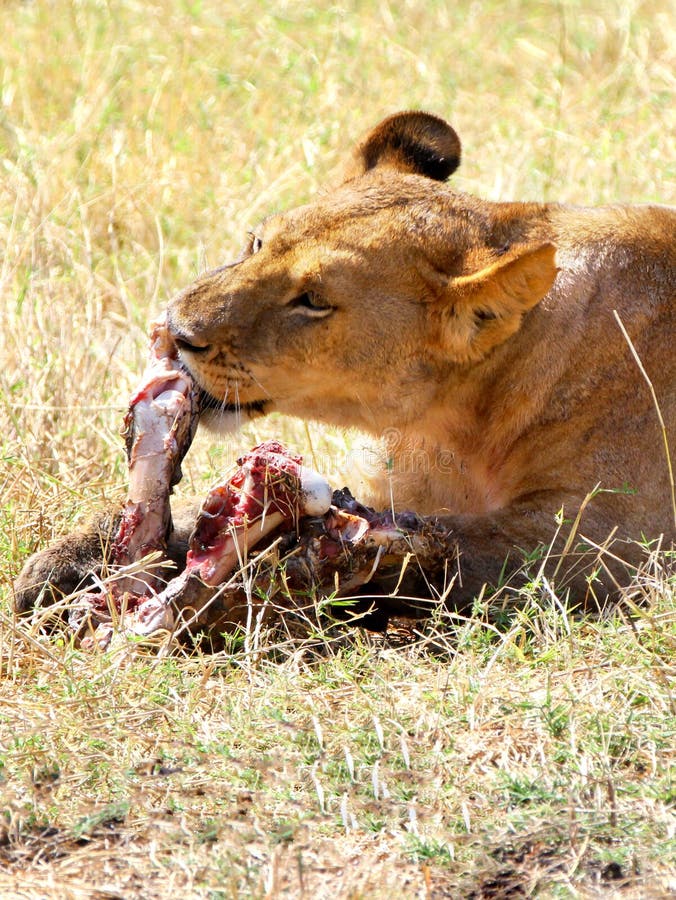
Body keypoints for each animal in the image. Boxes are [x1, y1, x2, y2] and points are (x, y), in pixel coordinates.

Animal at [15, 111, 675, 620]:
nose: (175, 332)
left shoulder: (608, 541)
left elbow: (455, 546)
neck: (454, 423)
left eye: (313, 300)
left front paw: (271, 575)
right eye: (258, 243)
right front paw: (71, 560)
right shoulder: (388, 482)